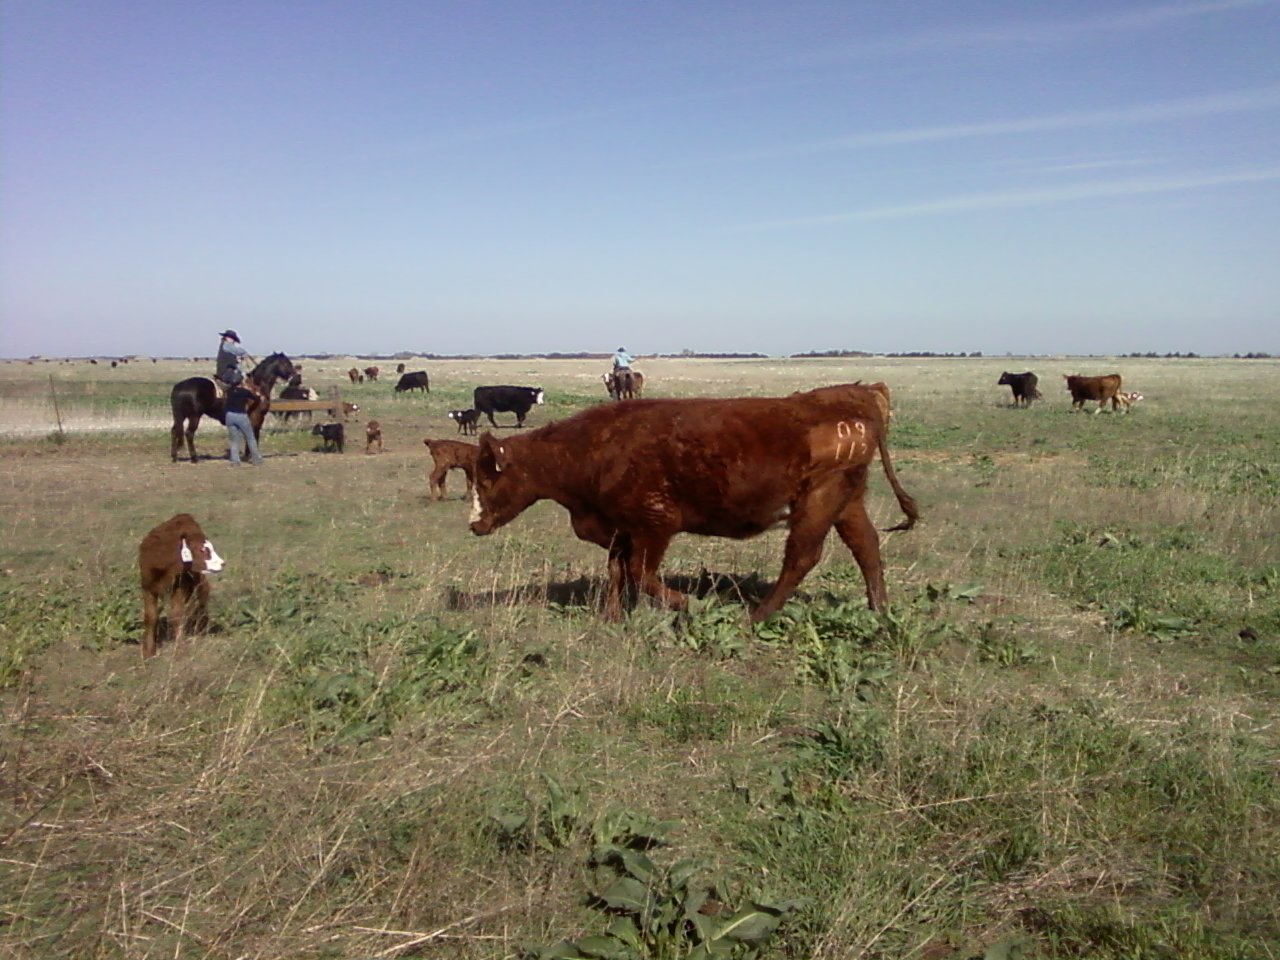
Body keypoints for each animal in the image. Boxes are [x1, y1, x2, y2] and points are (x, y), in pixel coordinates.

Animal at [138, 513, 224, 659]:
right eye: (202, 550)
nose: (222, 563)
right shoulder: (147, 586)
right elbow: (150, 617)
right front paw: (148, 652)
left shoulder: (180, 584)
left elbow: (176, 614)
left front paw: (179, 651)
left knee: (199, 602)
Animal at [469, 383, 917, 622]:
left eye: (487, 478)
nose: (475, 525)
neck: (594, 448)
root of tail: (855, 393)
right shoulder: (620, 529)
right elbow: (617, 571)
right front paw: (612, 615)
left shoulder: (655, 523)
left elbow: (639, 573)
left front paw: (686, 604)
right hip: (847, 502)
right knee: (866, 547)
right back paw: (879, 610)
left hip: (818, 502)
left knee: (802, 557)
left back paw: (757, 615)